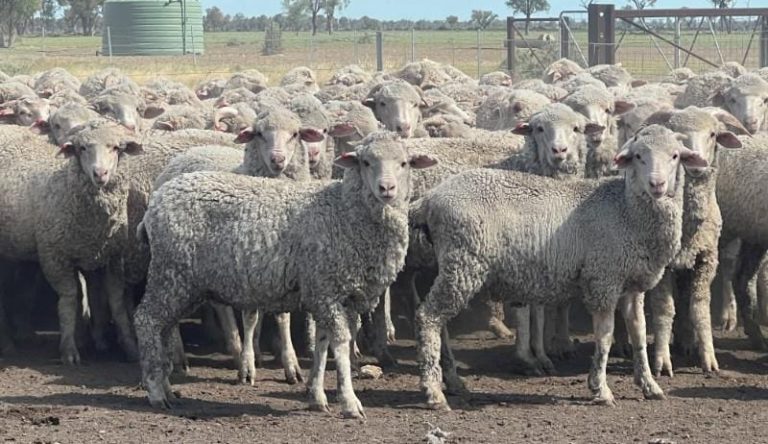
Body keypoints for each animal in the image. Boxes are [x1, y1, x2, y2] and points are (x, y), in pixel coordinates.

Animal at [0, 119, 143, 365]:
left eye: (116, 148)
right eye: (82, 148)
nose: (100, 173)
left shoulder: (111, 257)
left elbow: (115, 302)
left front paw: (130, 348)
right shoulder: (55, 256)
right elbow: (69, 300)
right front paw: (69, 350)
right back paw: (7, 344)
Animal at [133, 131, 437, 417]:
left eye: (404, 163)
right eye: (366, 162)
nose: (387, 188)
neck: (344, 211)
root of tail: (155, 203)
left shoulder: (339, 295)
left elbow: (323, 343)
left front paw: (317, 396)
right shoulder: (326, 289)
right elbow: (340, 343)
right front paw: (350, 403)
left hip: (183, 283)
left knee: (162, 327)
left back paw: (167, 388)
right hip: (171, 273)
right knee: (146, 320)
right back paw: (156, 392)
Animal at [412, 124, 707, 410]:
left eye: (675, 156)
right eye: (638, 156)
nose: (657, 184)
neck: (626, 210)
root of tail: (429, 199)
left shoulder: (631, 285)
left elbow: (639, 333)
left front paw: (649, 385)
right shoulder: (603, 279)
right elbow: (604, 336)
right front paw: (600, 389)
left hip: (448, 265)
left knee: (439, 323)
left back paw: (452, 381)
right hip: (462, 263)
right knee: (428, 318)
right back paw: (433, 392)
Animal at [644, 107, 746, 377]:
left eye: (712, 134)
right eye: (678, 137)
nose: (697, 162)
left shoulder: (706, 260)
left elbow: (699, 308)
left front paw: (708, 359)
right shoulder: (662, 266)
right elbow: (664, 309)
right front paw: (661, 361)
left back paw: (686, 342)